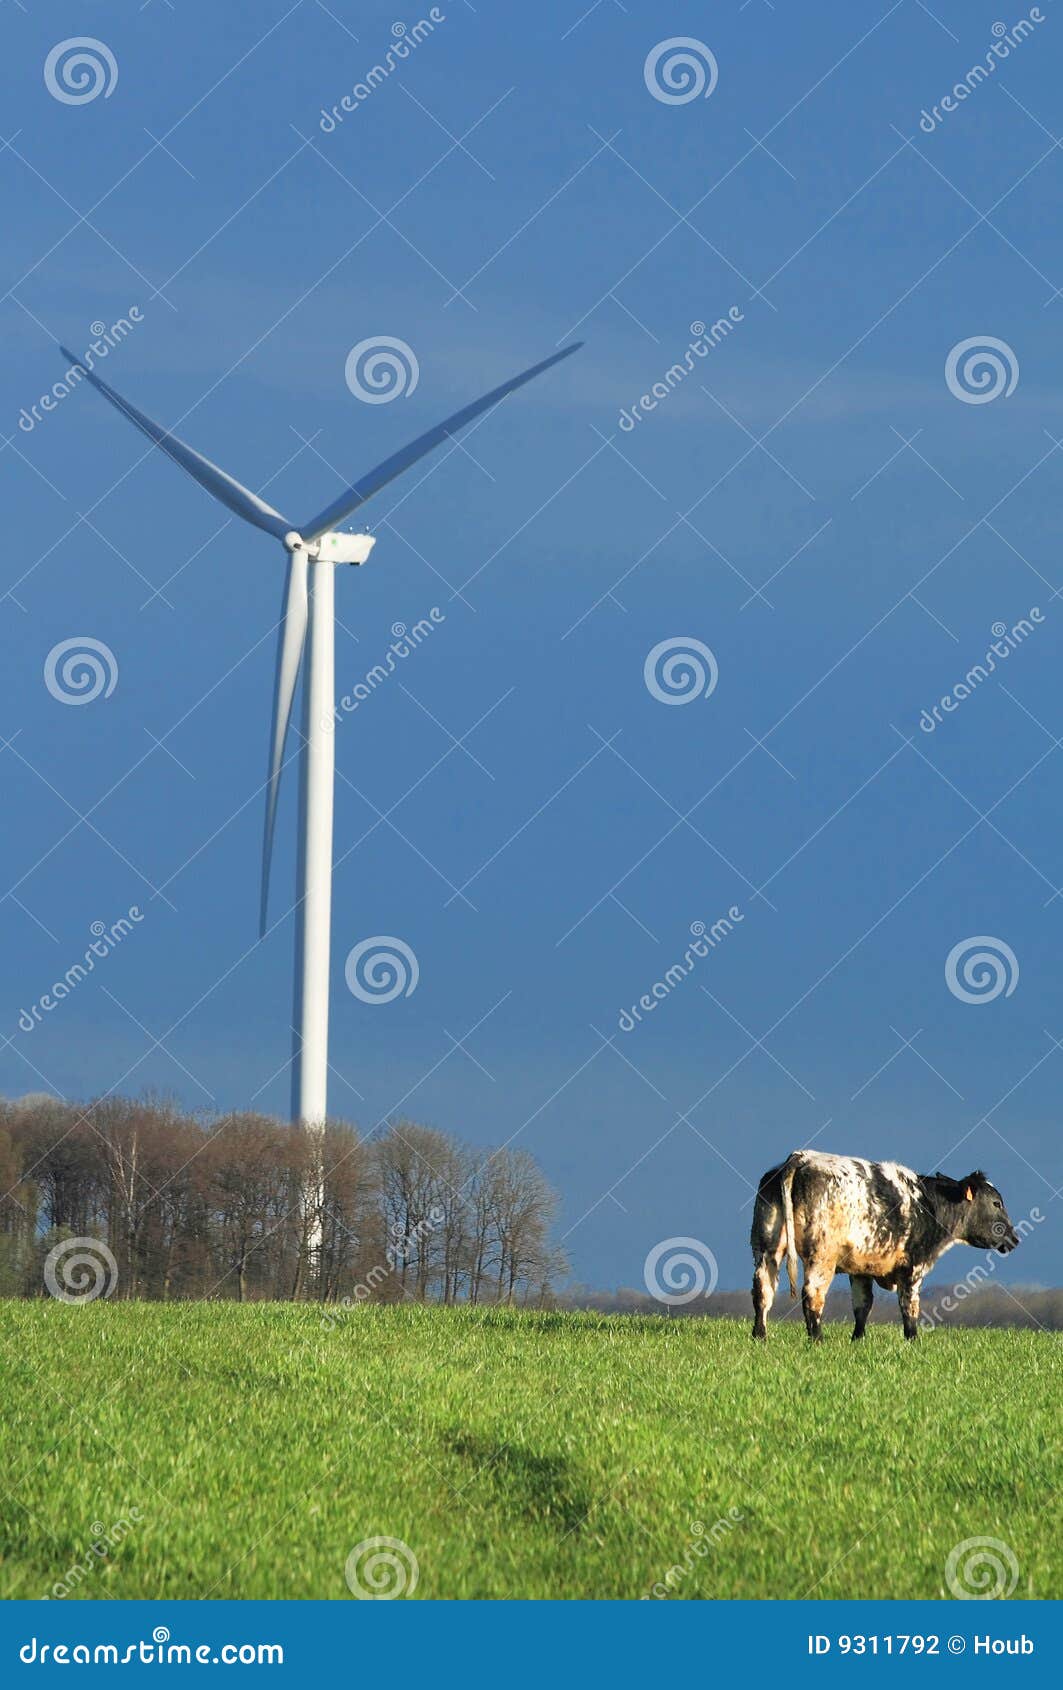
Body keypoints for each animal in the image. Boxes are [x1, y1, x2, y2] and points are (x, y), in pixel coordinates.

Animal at [750, 1149, 1019, 1341]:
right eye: (996, 1203)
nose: (1014, 1238)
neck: (928, 1205)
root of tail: (803, 1157)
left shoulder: (861, 1268)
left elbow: (863, 1305)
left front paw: (858, 1340)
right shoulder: (913, 1267)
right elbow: (909, 1306)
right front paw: (912, 1341)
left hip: (768, 1247)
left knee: (763, 1289)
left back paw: (760, 1337)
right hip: (822, 1256)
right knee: (812, 1295)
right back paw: (817, 1339)